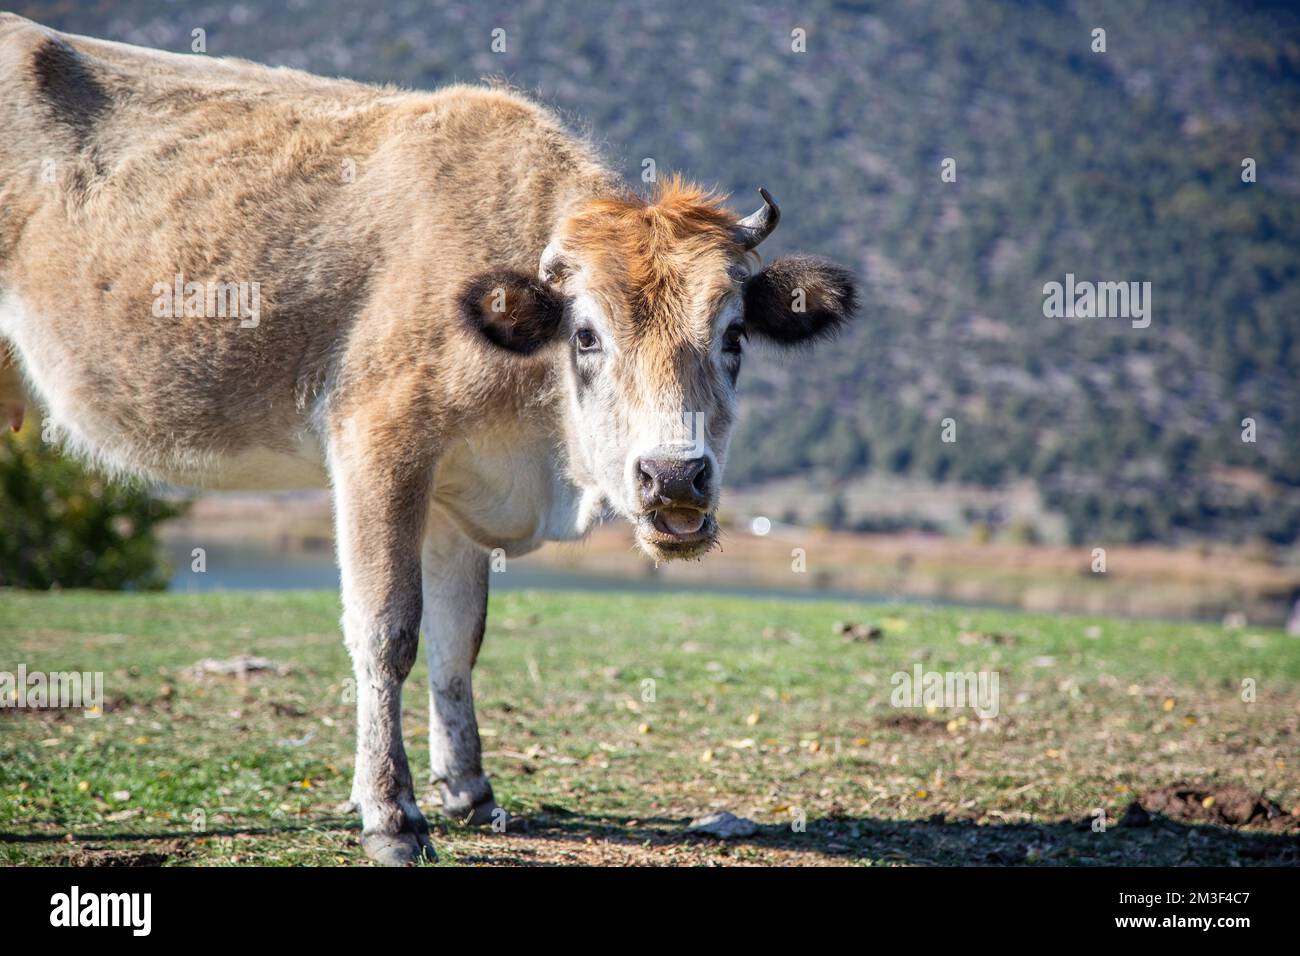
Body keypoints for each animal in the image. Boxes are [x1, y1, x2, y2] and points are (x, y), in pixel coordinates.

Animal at [0, 14, 857, 864]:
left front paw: (469, 791)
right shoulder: (380, 443)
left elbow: (457, 639)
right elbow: (388, 630)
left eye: (734, 333)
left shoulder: (460, 487)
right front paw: (390, 812)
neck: (541, 453)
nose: (674, 478)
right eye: (585, 335)